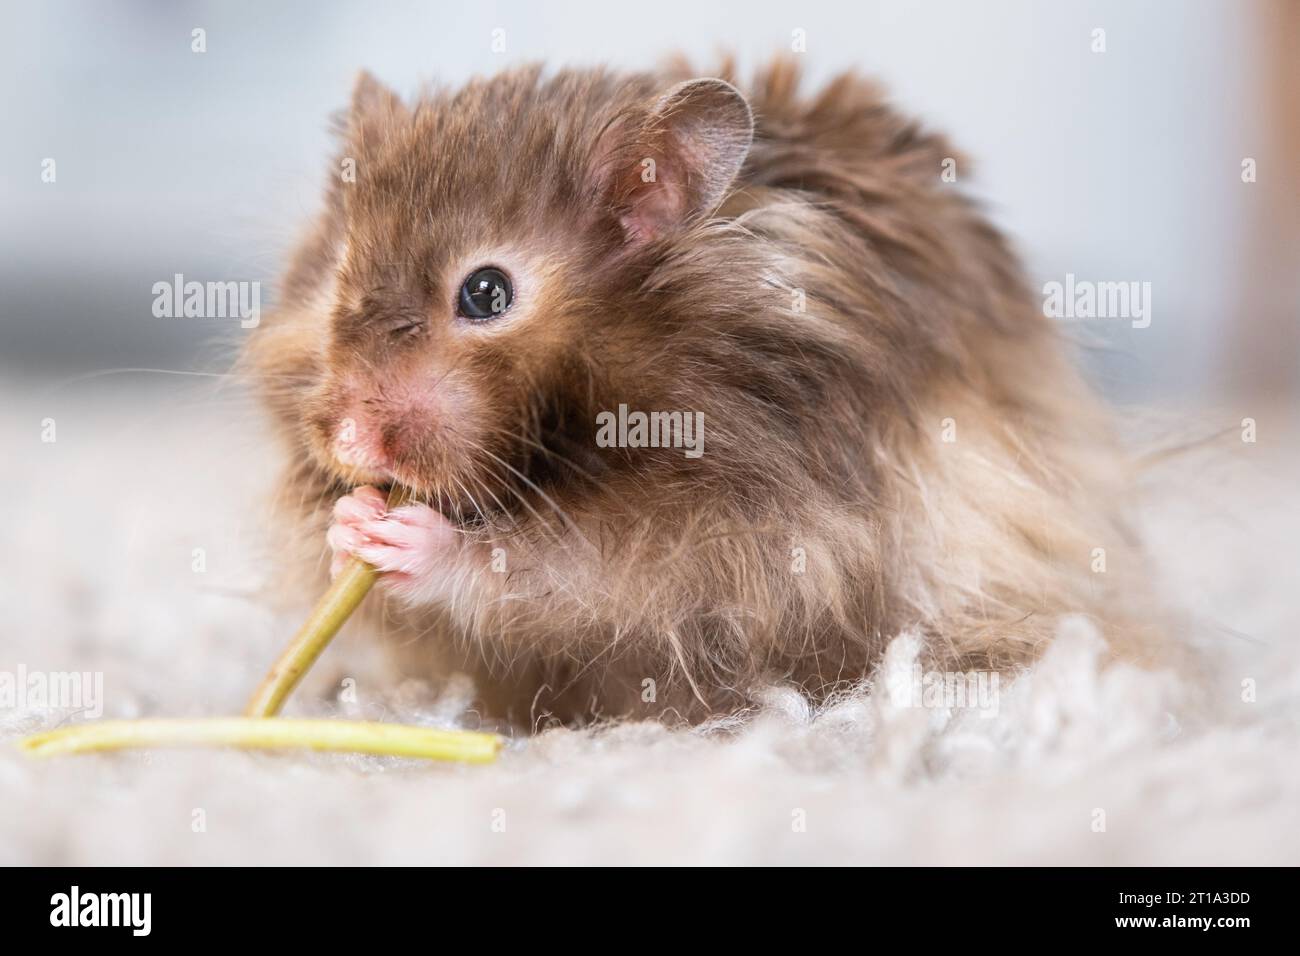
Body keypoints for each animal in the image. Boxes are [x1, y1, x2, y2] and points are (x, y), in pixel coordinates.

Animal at [245, 58, 1153, 724]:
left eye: (487, 293)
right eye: (338, 271)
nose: (351, 442)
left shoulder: (756, 530)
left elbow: (571, 570)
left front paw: (405, 537)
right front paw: (348, 521)